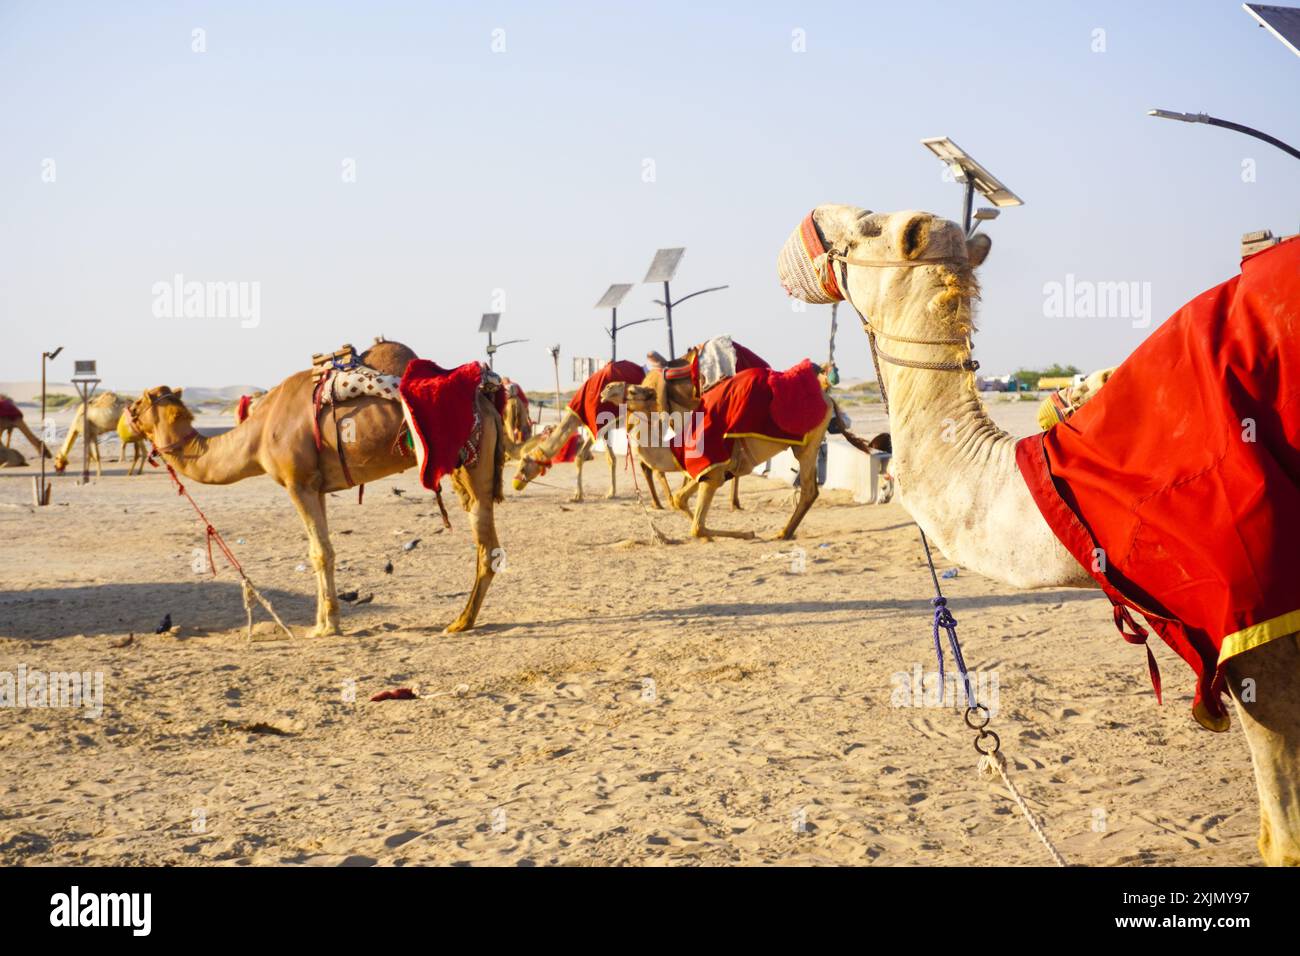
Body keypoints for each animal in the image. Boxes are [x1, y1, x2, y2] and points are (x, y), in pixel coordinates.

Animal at [126, 340, 504, 636]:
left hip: (472, 464)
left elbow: (320, 552)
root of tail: (488, 403)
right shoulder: (318, 488)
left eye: (138, 403)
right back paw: (463, 619)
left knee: (487, 546)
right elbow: (320, 550)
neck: (257, 434)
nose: (127, 414)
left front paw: (326, 627)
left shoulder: (299, 483)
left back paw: (460, 622)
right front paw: (323, 620)